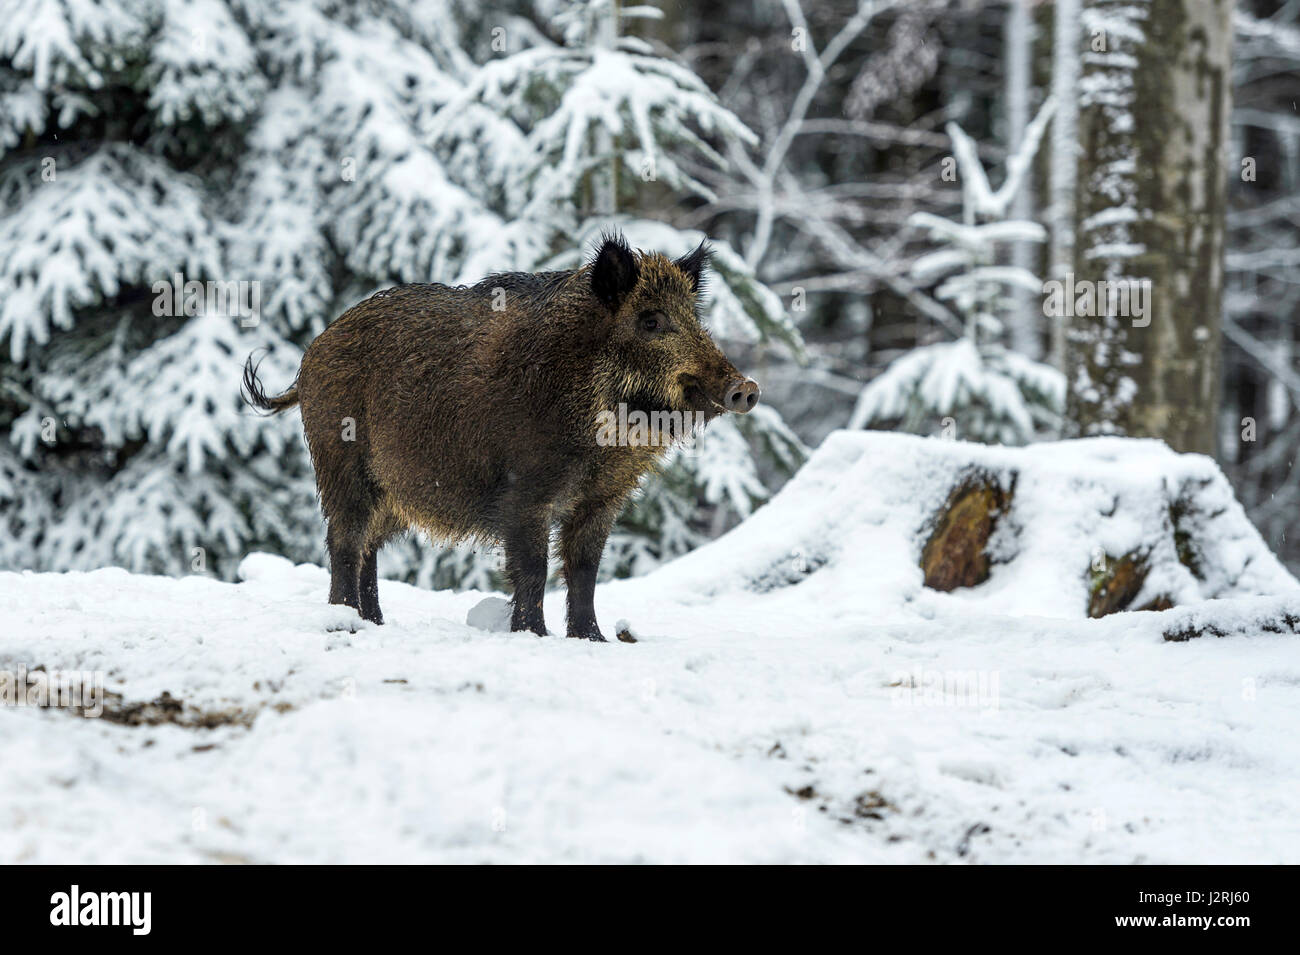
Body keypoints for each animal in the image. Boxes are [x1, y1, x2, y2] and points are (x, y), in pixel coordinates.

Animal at [242, 233, 760, 640]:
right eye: (651, 320)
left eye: (695, 318)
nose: (746, 388)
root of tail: (312, 353)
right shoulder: (524, 491)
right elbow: (534, 568)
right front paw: (534, 636)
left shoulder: (602, 498)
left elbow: (585, 570)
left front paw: (592, 641)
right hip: (339, 463)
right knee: (344, 541)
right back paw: (345, 624)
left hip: (393, 492)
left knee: (368, 546)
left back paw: (377, 624)